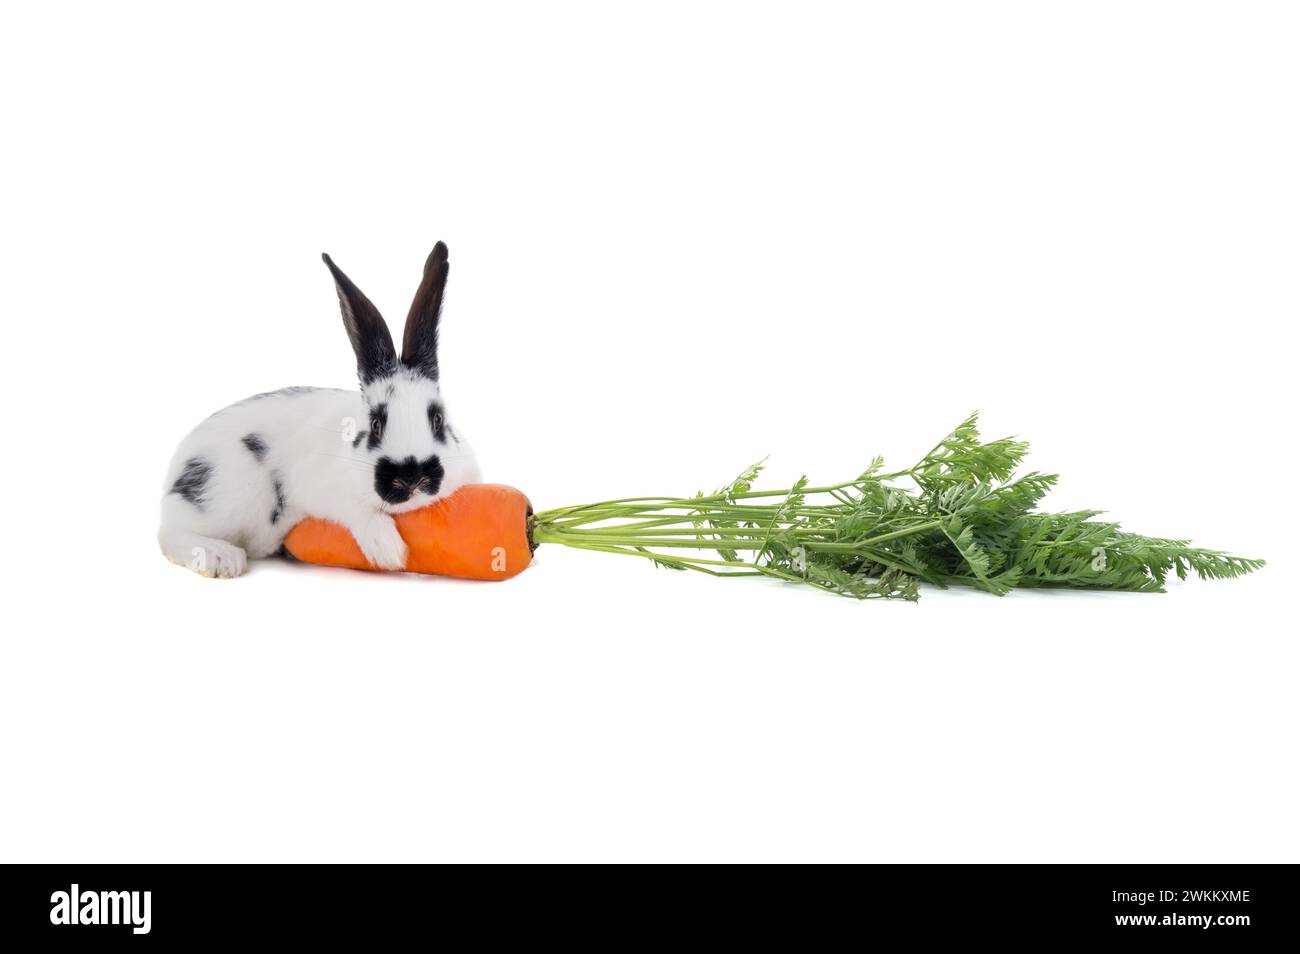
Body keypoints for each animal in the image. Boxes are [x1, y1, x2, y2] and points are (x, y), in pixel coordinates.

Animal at [158, 241, 481, 577]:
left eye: (438, 419)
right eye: (376, 424)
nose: (411, 478)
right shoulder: (320, 489)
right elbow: (355, 510)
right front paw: (388, 551)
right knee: (171, 535)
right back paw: (221, 558)